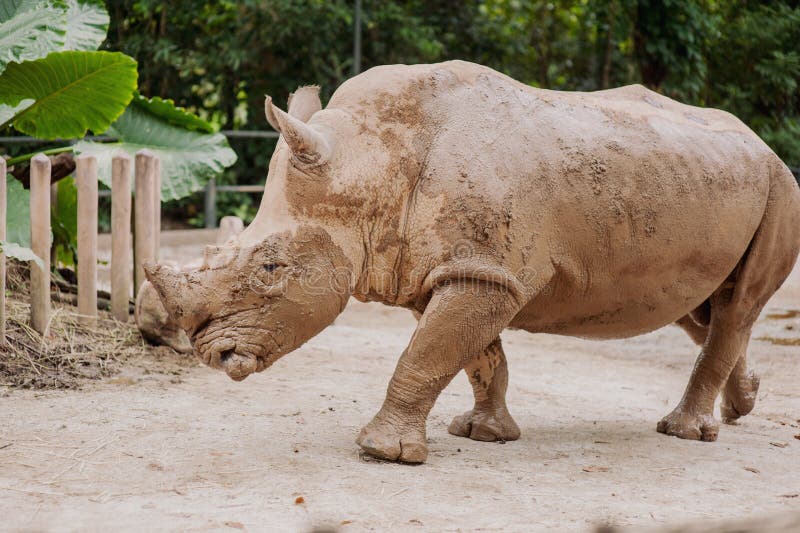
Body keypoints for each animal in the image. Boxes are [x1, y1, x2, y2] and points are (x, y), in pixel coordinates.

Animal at [146, 61, 800, 463]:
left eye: (271, 270)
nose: (209, 354)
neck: (371, 160)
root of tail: (763, 143)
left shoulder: (481, 272)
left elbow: (427, 356)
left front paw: (382, 453)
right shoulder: (458, 269)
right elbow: (477, 358)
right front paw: (484, 434)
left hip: (780, 188)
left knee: (736, 307)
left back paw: (683, 432)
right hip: (705, 181)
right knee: (700, 310)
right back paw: (741, 407)